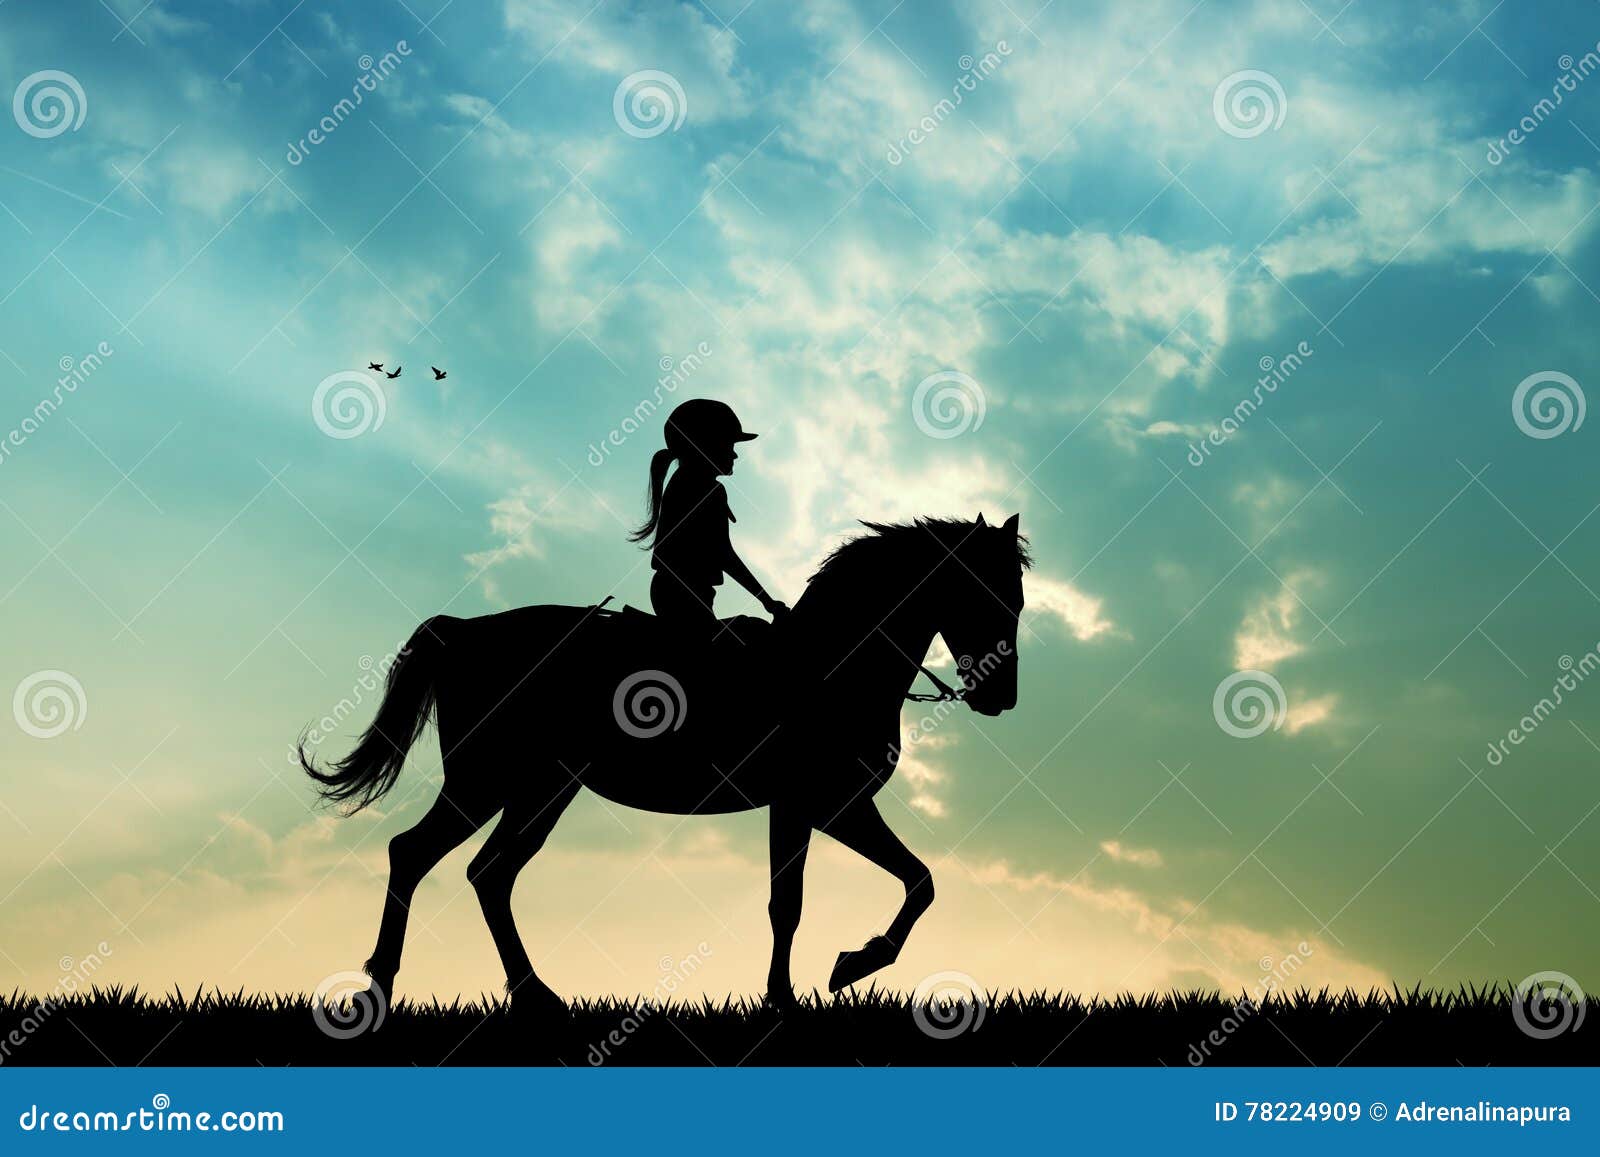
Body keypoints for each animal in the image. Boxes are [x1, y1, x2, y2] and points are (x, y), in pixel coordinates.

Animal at [299, 514, 1027, 1014]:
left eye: (1017, 601)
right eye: (983, 596)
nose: (1001, 697)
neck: (831, 664)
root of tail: (462, 631)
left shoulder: (830, 805)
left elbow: (915, 881)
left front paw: (842, 966)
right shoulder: (812, 803)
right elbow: (791, 902)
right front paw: (803, 989)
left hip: (543, 788)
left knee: (488, 873)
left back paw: (534, 994)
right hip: (488, 780)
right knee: (414, 853)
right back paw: (380, 987)